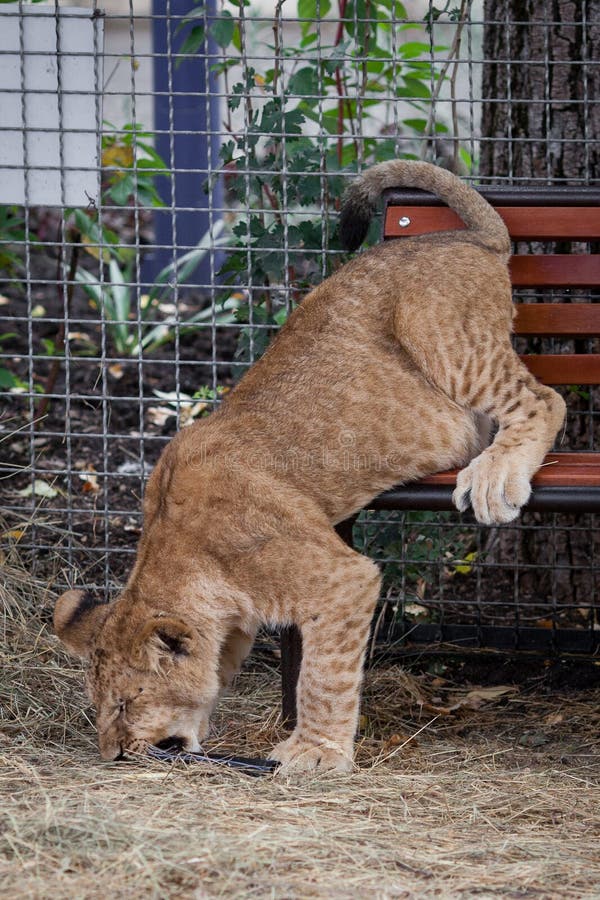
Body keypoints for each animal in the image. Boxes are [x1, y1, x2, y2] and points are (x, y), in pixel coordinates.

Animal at [54, 161, 565, 773]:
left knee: (544, 399)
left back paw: (495, 477)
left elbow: (323, 674)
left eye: (128, 703)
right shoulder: (237, 621)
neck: (177, 547)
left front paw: (315, 751)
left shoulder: (340, 579)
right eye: (99, 705)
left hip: (441, 332)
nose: (114, 755)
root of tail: (465, 236)